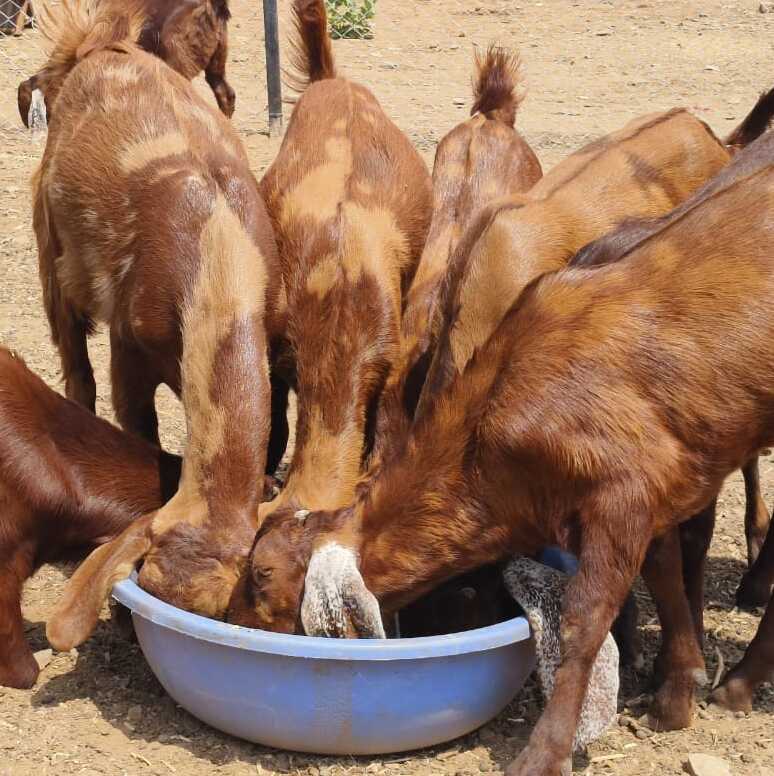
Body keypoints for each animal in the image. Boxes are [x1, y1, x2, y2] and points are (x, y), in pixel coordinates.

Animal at [236, 134, 774, 776]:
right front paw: (678, 685)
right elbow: (663, 569)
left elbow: (583, 620)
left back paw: (741, 680)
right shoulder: (657, 490)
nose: (235, 626)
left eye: (262, 574)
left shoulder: (624, 491)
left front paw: (546, 751)